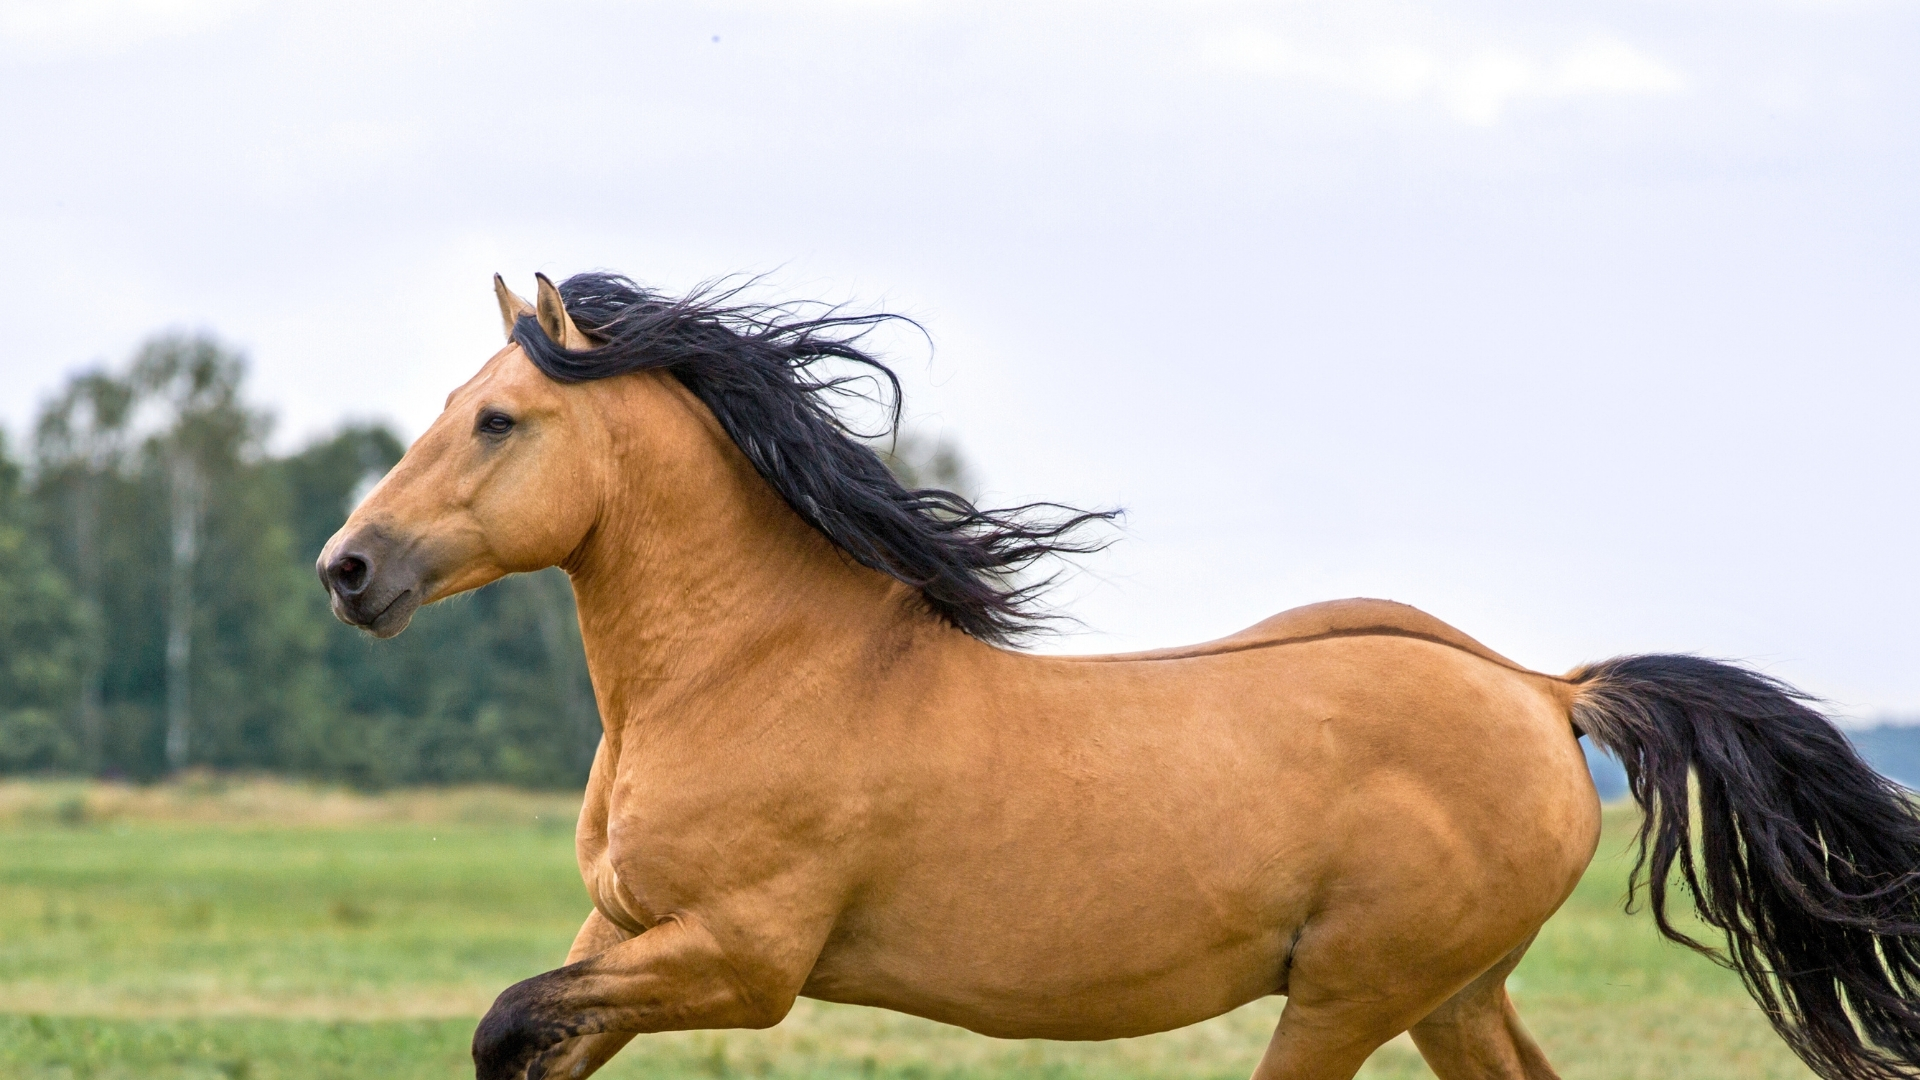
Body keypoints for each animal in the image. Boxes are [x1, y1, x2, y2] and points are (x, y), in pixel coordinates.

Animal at [319, 271, 1920, 1080]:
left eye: (499, 421)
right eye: (457, 404)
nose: (349, 569)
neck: (756, 674)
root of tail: (1544, 693)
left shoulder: (743, 961)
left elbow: (505, 1022)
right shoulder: (626, 937)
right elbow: (529, 1040)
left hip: (1353, 994)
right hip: (1454, 995)